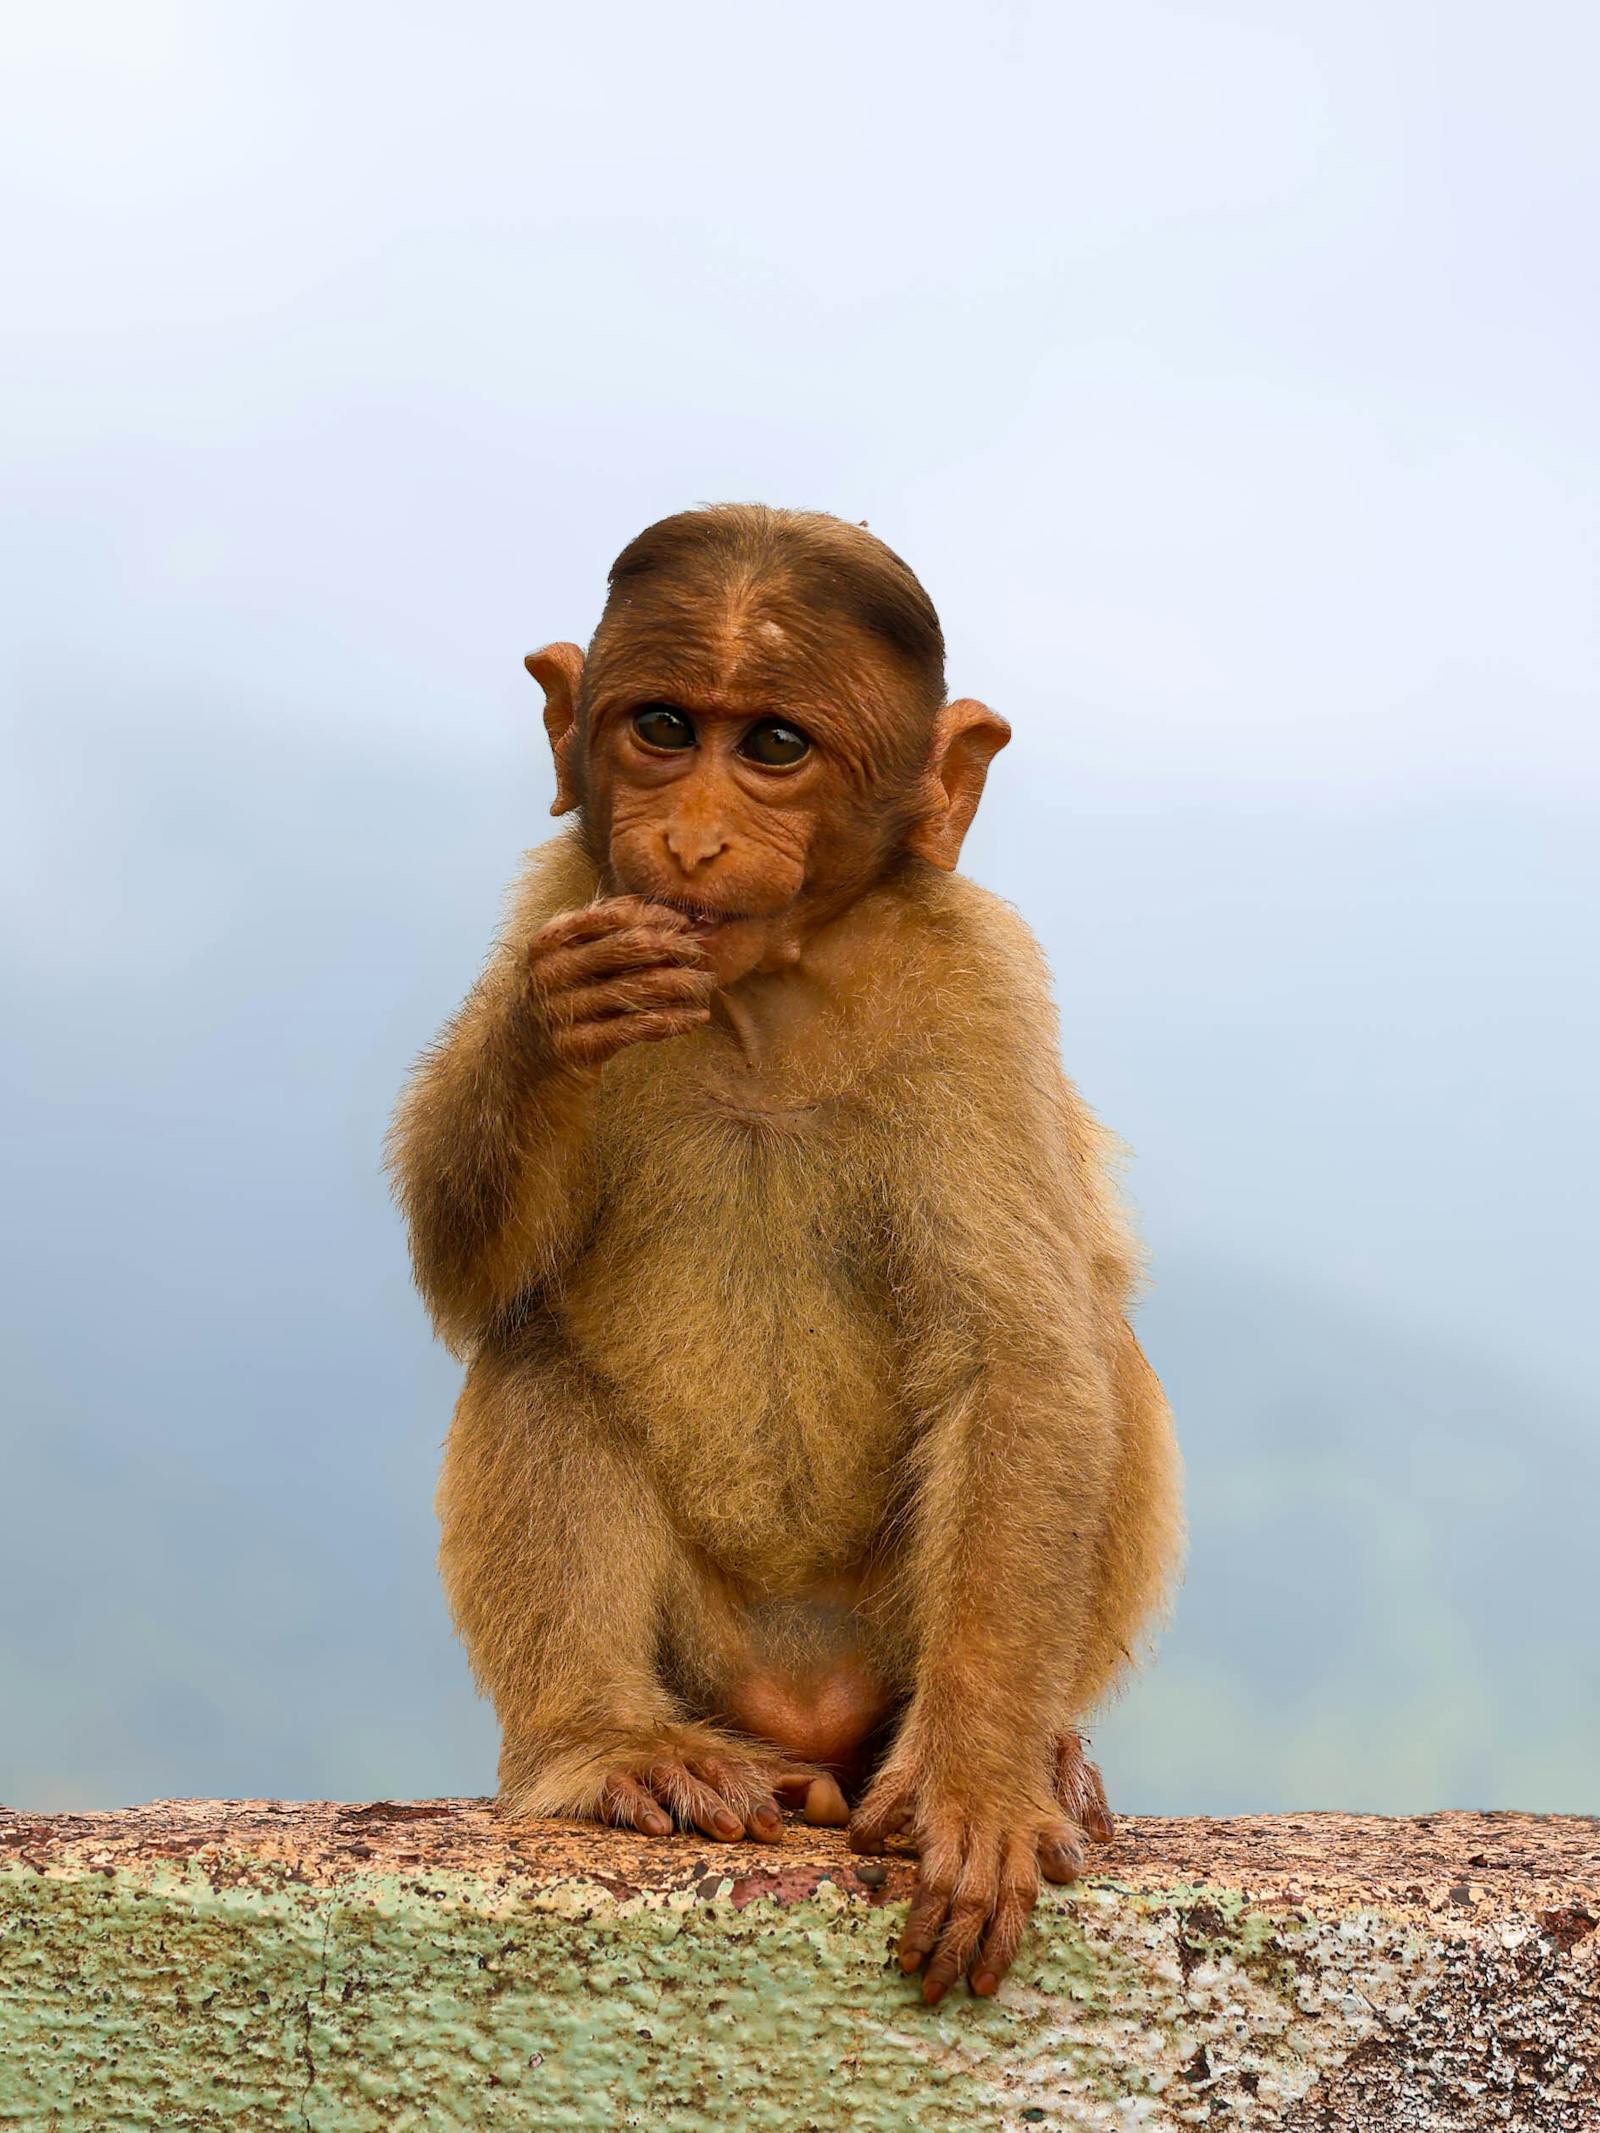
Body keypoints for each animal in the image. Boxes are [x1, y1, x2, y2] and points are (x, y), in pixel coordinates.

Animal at [387, 505, 1182, 2003]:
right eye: (660, 726)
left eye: (773, 746)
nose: (692, 843)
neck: (768, 992)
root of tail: (803, 1718)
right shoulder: (562, 891)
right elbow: (467, 1275)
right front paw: (550, 1022)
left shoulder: (977, 982)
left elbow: (1021, 1360)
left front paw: (977, 1789)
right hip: (704, 1658)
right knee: (532, 1349)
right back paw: (609, 1747)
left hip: (889, 1648)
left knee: (1089, 1355)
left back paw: (1037, 1753)